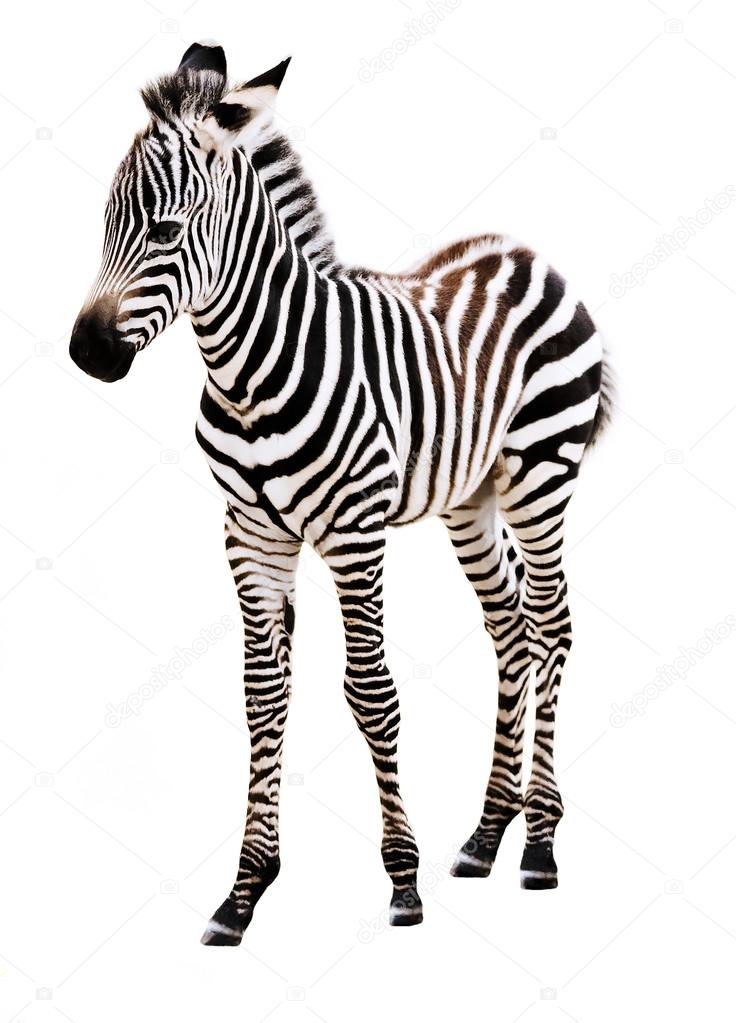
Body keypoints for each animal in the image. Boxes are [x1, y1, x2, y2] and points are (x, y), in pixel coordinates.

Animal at [69, 42, 613, 946]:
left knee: (551, 624)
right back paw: (486, 832)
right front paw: (244, 892)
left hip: (542, 472)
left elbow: (371, 695)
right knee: (508, 625)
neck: (250, 375)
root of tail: (522, 252)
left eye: (166, 230)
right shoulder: (250, 535)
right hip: (471, 497)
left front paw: (402, 881)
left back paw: (538, 841)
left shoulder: (355, 533)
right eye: (106, 222)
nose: (87, 353)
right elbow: (263, 698)